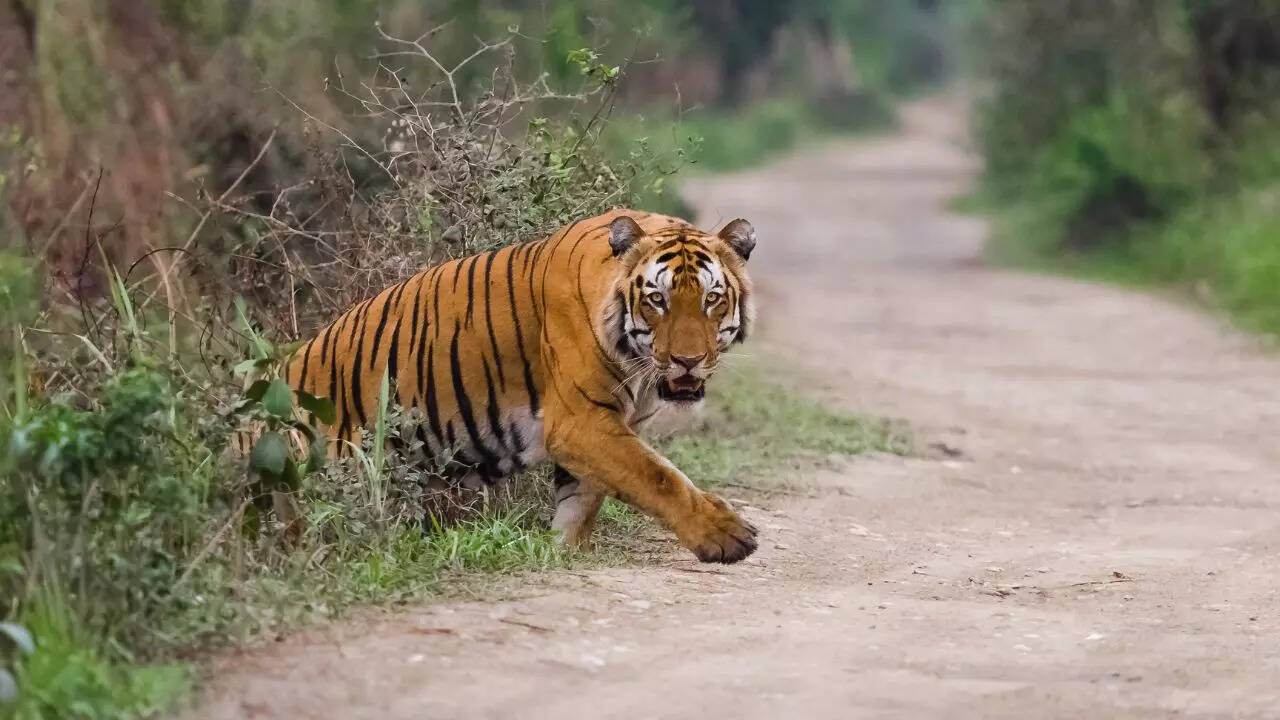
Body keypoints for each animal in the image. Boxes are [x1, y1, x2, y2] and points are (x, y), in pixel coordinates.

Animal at [282, 208, 760, 563]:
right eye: (657, 299)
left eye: (712, 299)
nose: (688, 361)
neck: (639, 369)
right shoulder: (580, 422)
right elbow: (657, 476)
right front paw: (725, 534)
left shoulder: (602, 427)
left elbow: (583, 499)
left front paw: (565, 552)